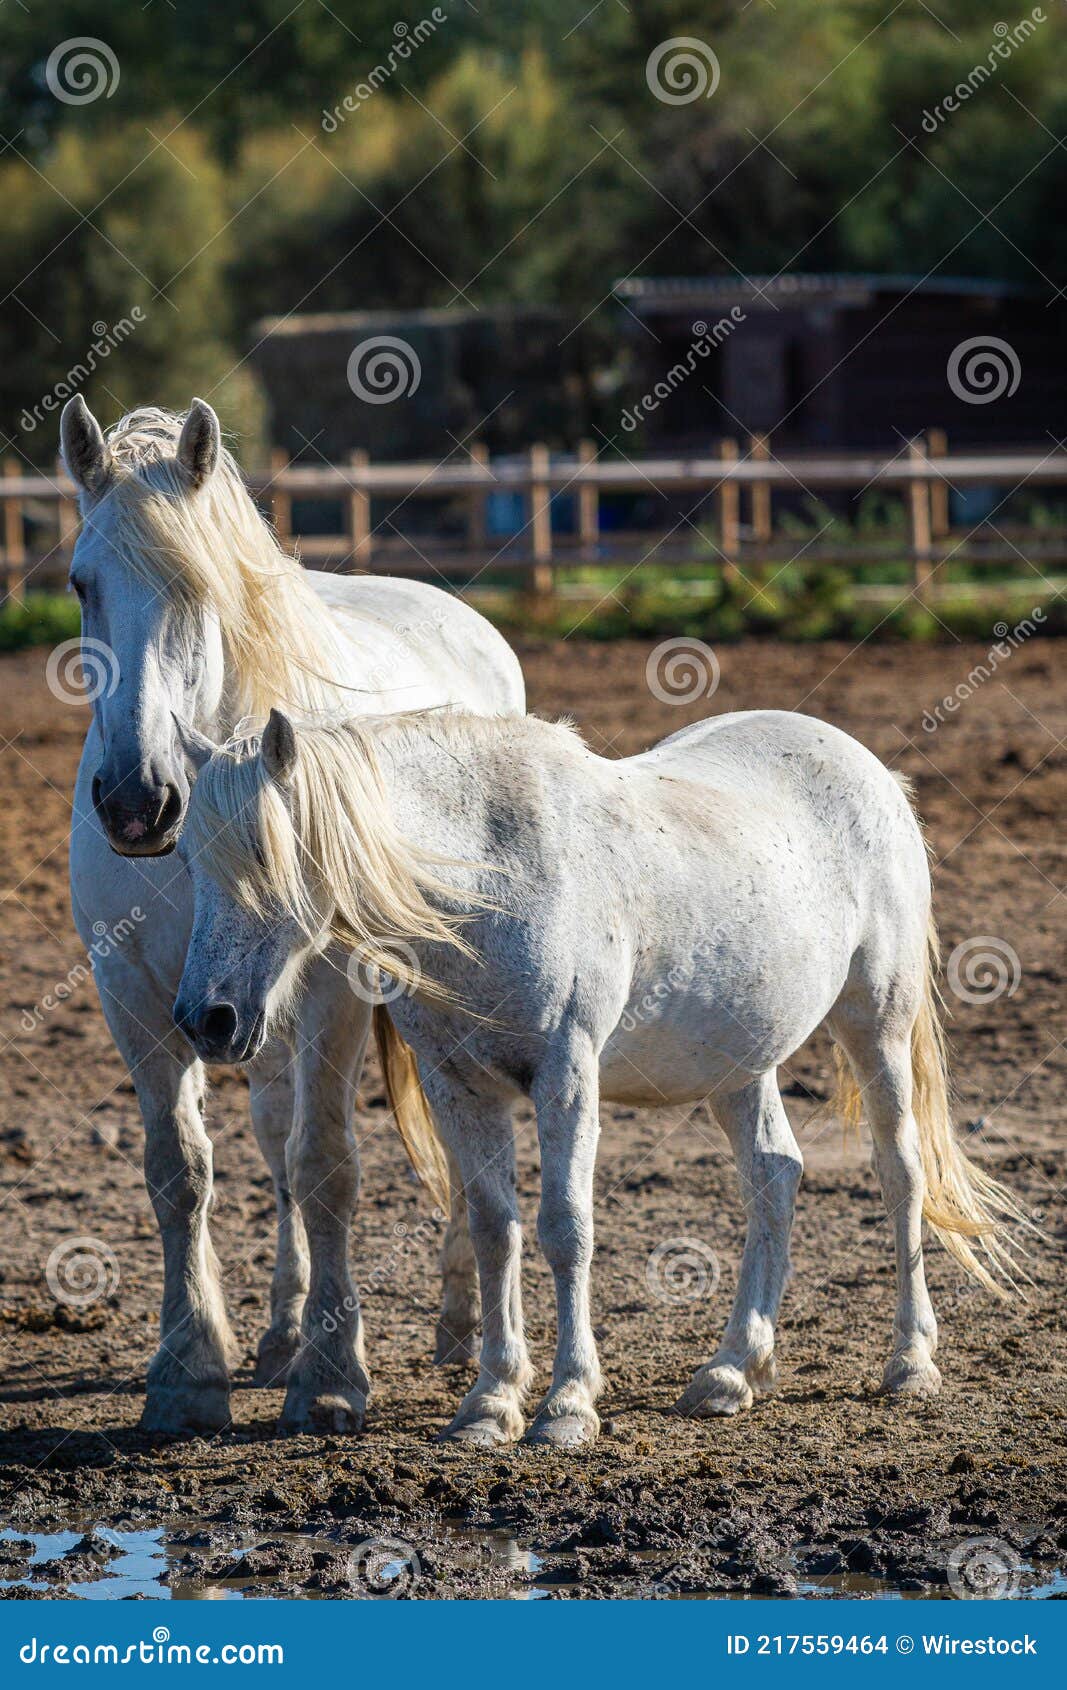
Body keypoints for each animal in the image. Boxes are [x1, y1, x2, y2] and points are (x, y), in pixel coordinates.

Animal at [61, 395, 523, 1434]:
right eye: (79, 583)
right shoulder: (137, 992)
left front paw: (334, 1377)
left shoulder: (331, 991)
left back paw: (457, 1323)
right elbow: (180, 1171)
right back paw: (277, 1336)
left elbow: (326, 1166)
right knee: (271, 1138)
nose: (136, 804)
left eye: (201, 586)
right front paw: (188, 1370)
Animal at [170, 702, 1027, 1446]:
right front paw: (489, 1404)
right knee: (773, 1175)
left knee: (900, 1171)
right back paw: (732, 1371)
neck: (490, 876)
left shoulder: (566, 1074)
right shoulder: (458, 1085)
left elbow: (566, 1229)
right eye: (185, 859)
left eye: (266, 852)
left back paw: (909, 1362)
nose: (206, 1020)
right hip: (737, 1061)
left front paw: (566, 1406)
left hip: (875, 1021)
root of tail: (868, 768)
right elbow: (495, 1231)